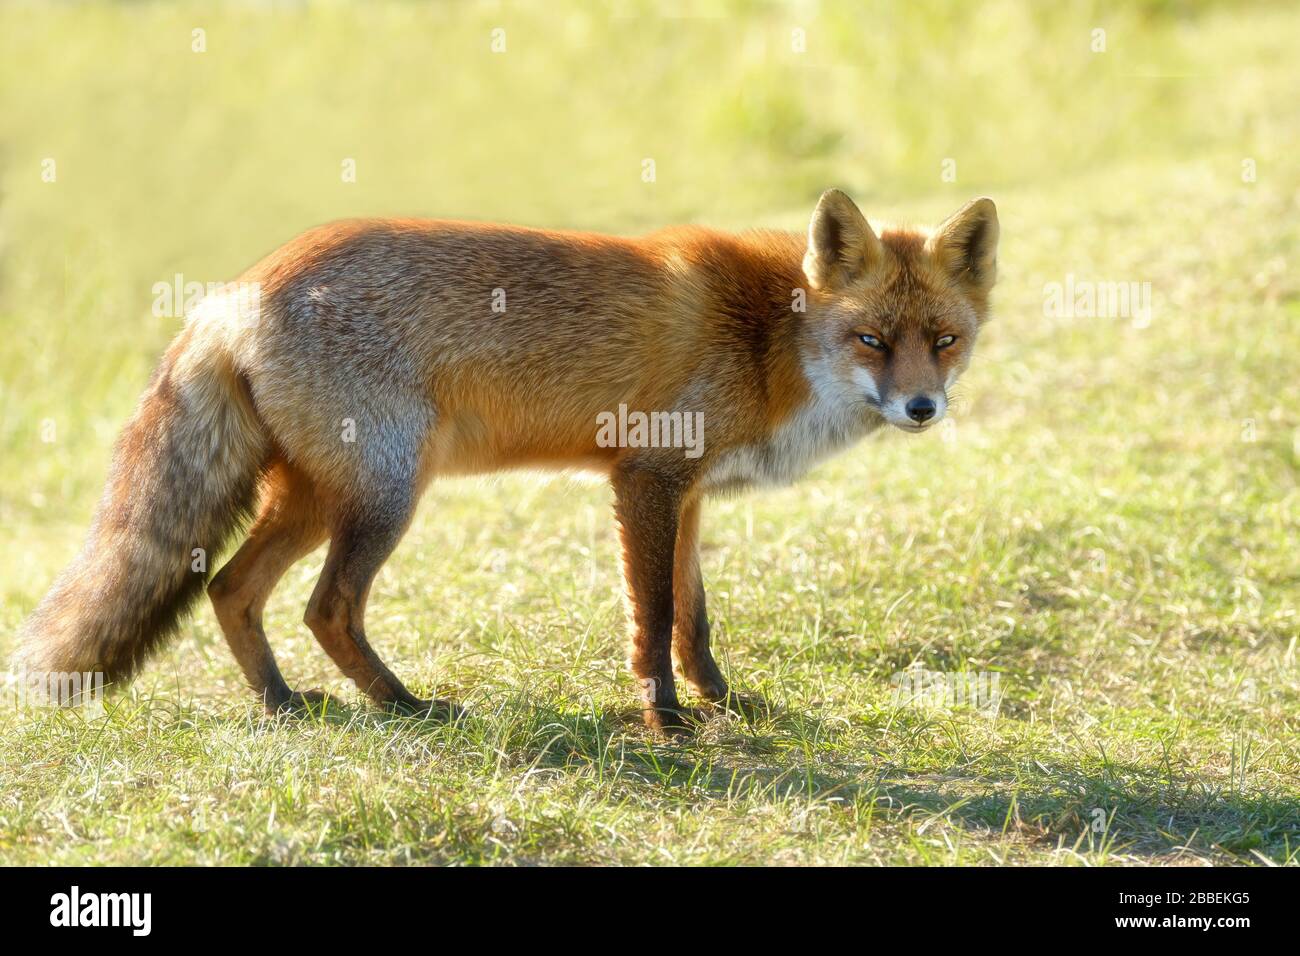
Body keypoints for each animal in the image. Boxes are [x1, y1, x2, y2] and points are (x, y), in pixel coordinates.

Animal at [15, 189, 998, 733]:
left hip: (315, 498)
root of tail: (236, 291)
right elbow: (652, 618)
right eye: (871, 340)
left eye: (944, 342)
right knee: (326, 609)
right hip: (384, 495)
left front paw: (719, 701)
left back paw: (283, 706)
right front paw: (666, 721)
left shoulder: (685, 493)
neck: (767, 334)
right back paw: (405, 708)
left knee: (230, 588)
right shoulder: (644, 480)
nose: (922, 408)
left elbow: (694, 618)